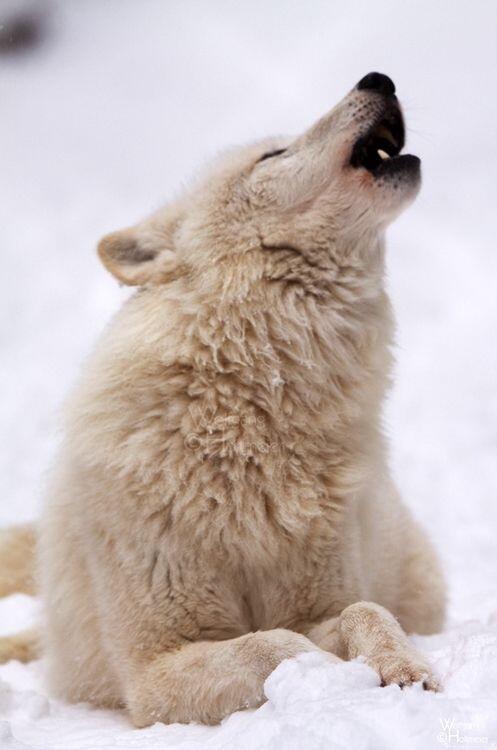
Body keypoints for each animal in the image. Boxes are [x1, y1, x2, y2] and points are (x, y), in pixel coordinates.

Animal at [0, 72, 445, 726]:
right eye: (273, 155)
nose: (378, 79)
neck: (246, 425)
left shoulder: (322, 600)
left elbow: (361, 612)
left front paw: (404, 669)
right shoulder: (153, 674)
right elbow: (273, 645)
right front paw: (324, 677)